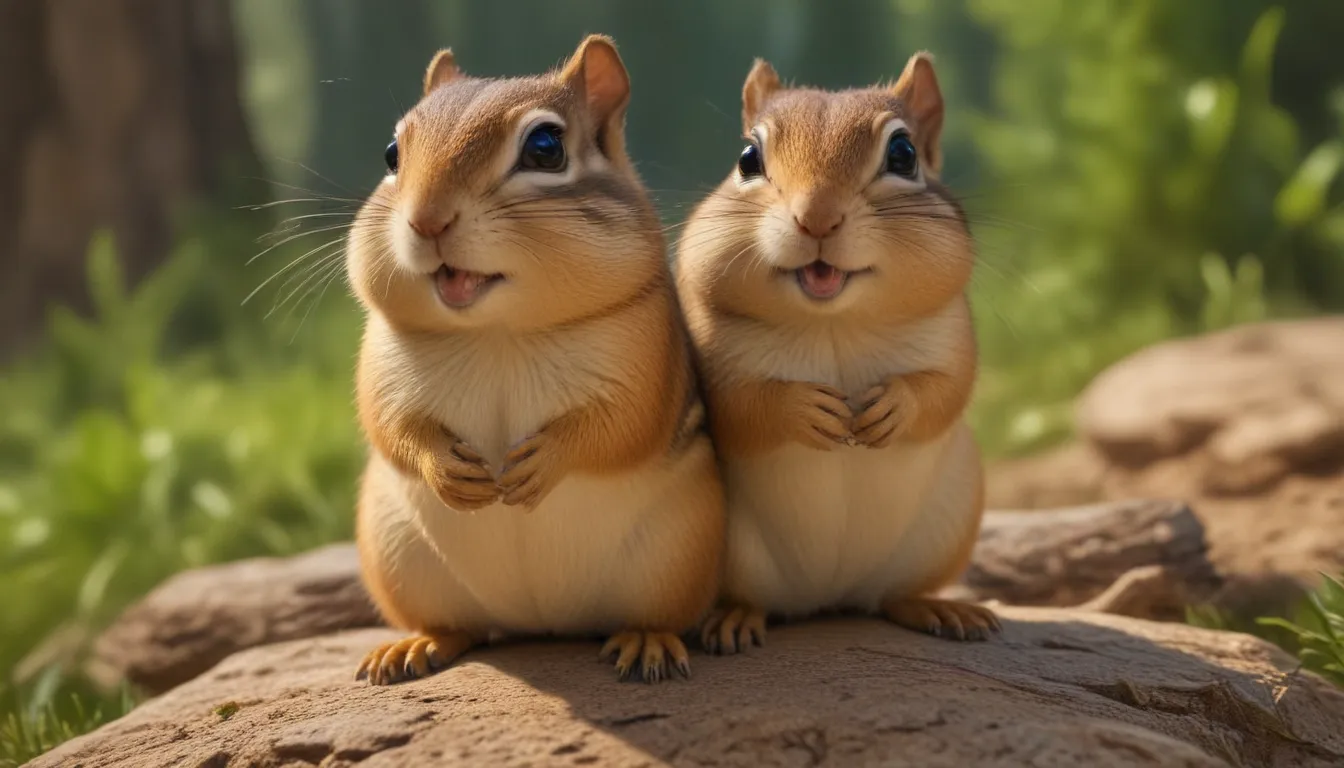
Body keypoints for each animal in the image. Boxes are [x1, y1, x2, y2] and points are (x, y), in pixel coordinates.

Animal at [347, 35, 724, 685]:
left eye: (545, 148)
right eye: (392, 153)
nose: (427, 219)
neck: (497, 335)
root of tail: (544, 622)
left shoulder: (646, 368)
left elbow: (618, 429)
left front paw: (543, 463)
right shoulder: (383, 367)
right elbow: (391, 428)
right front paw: (446, 468)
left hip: (681, 547)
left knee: (658, 613)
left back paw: (646, 642)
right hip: (397, 557)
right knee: (462, 627)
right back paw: (416, 645)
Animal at [674, 52, 999, 653]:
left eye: (904, 154)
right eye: (747, 159)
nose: (817, 218)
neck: (834, 326)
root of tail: (826, 596)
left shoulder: (954, 338)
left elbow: (946, 390)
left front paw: (893, 407)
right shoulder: (705, 352)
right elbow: (738, 406)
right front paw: (803, 410)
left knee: (892, 597)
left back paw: (938, 609)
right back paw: (733, 619)